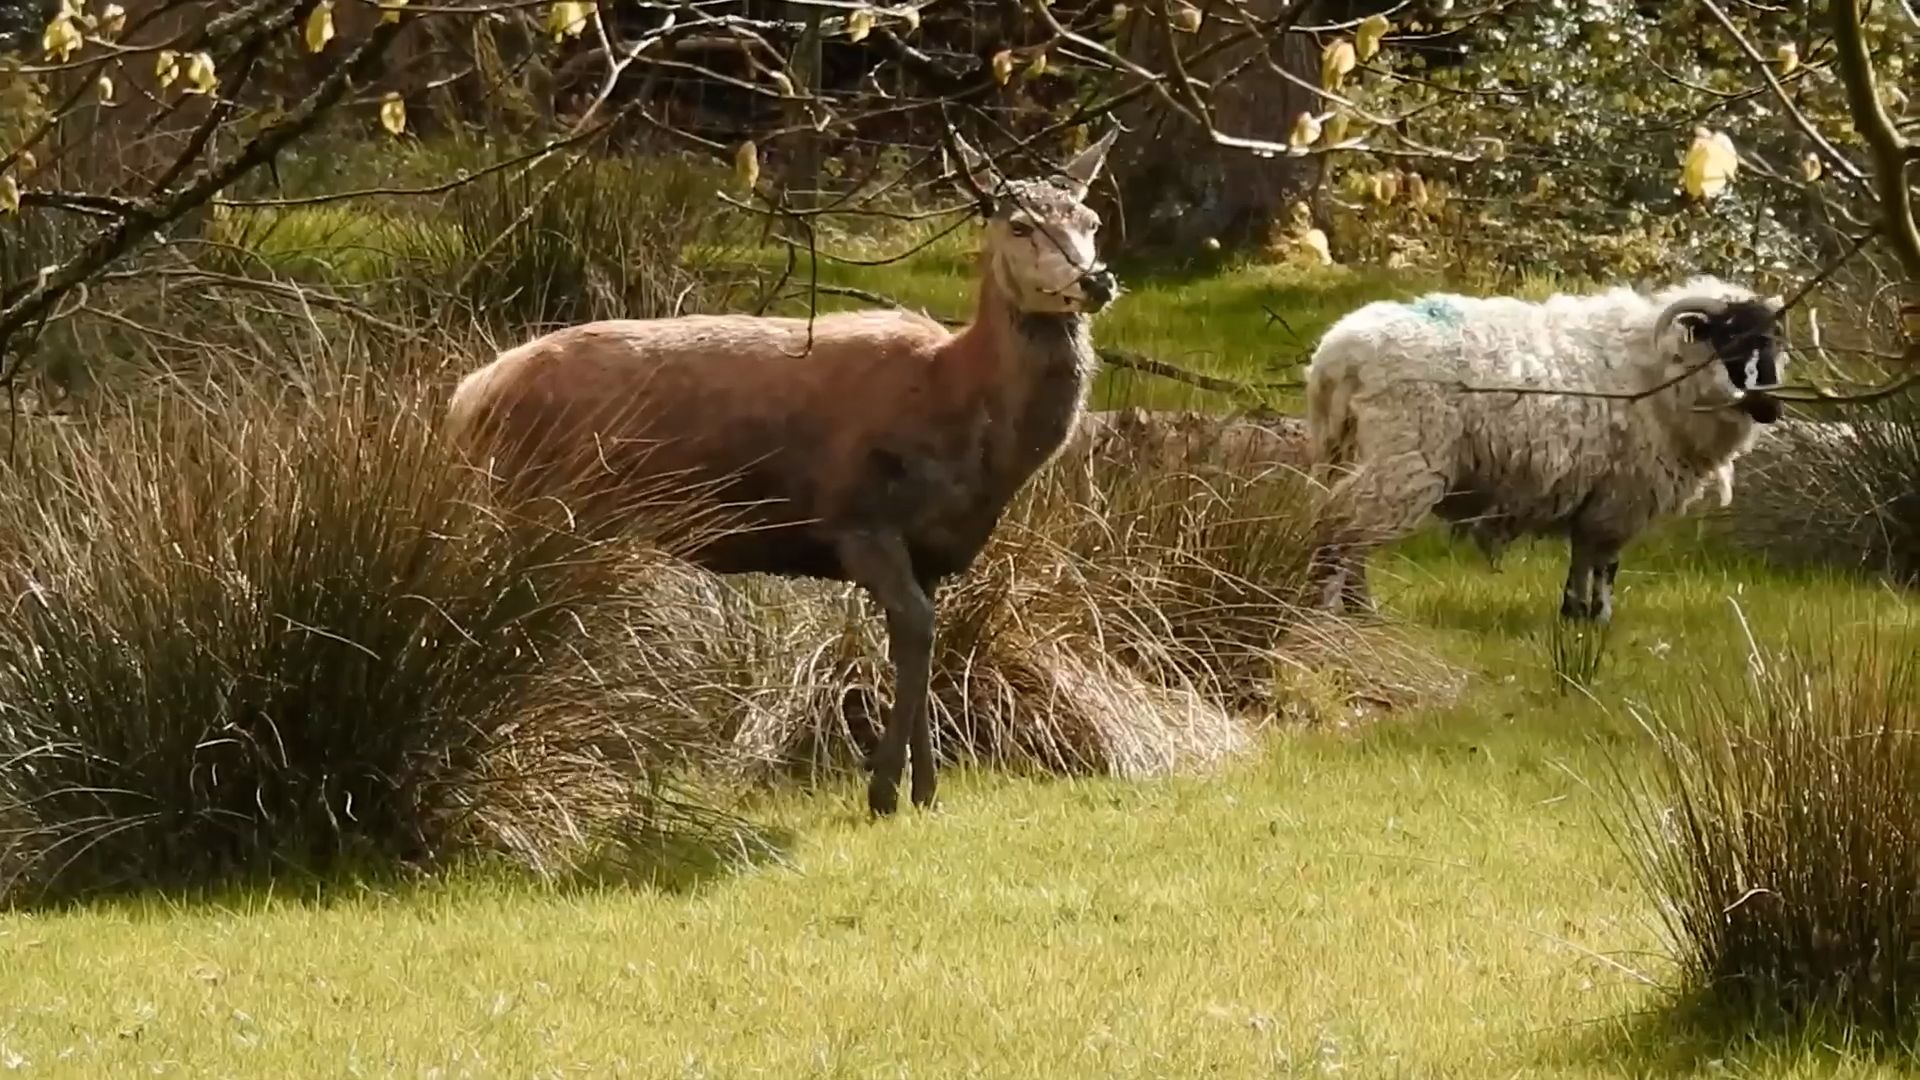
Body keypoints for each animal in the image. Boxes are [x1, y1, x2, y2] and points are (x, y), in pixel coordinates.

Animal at [444, 127, 1124, 817]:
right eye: (1020, 224)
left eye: (1092, 220)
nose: (1096, 280)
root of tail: (466, 398)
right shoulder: (858, 516)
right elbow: (915, 630)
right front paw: (885, 789)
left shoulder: (932, 548)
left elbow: (920, 640)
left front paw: (925, 790)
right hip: (540, 504)